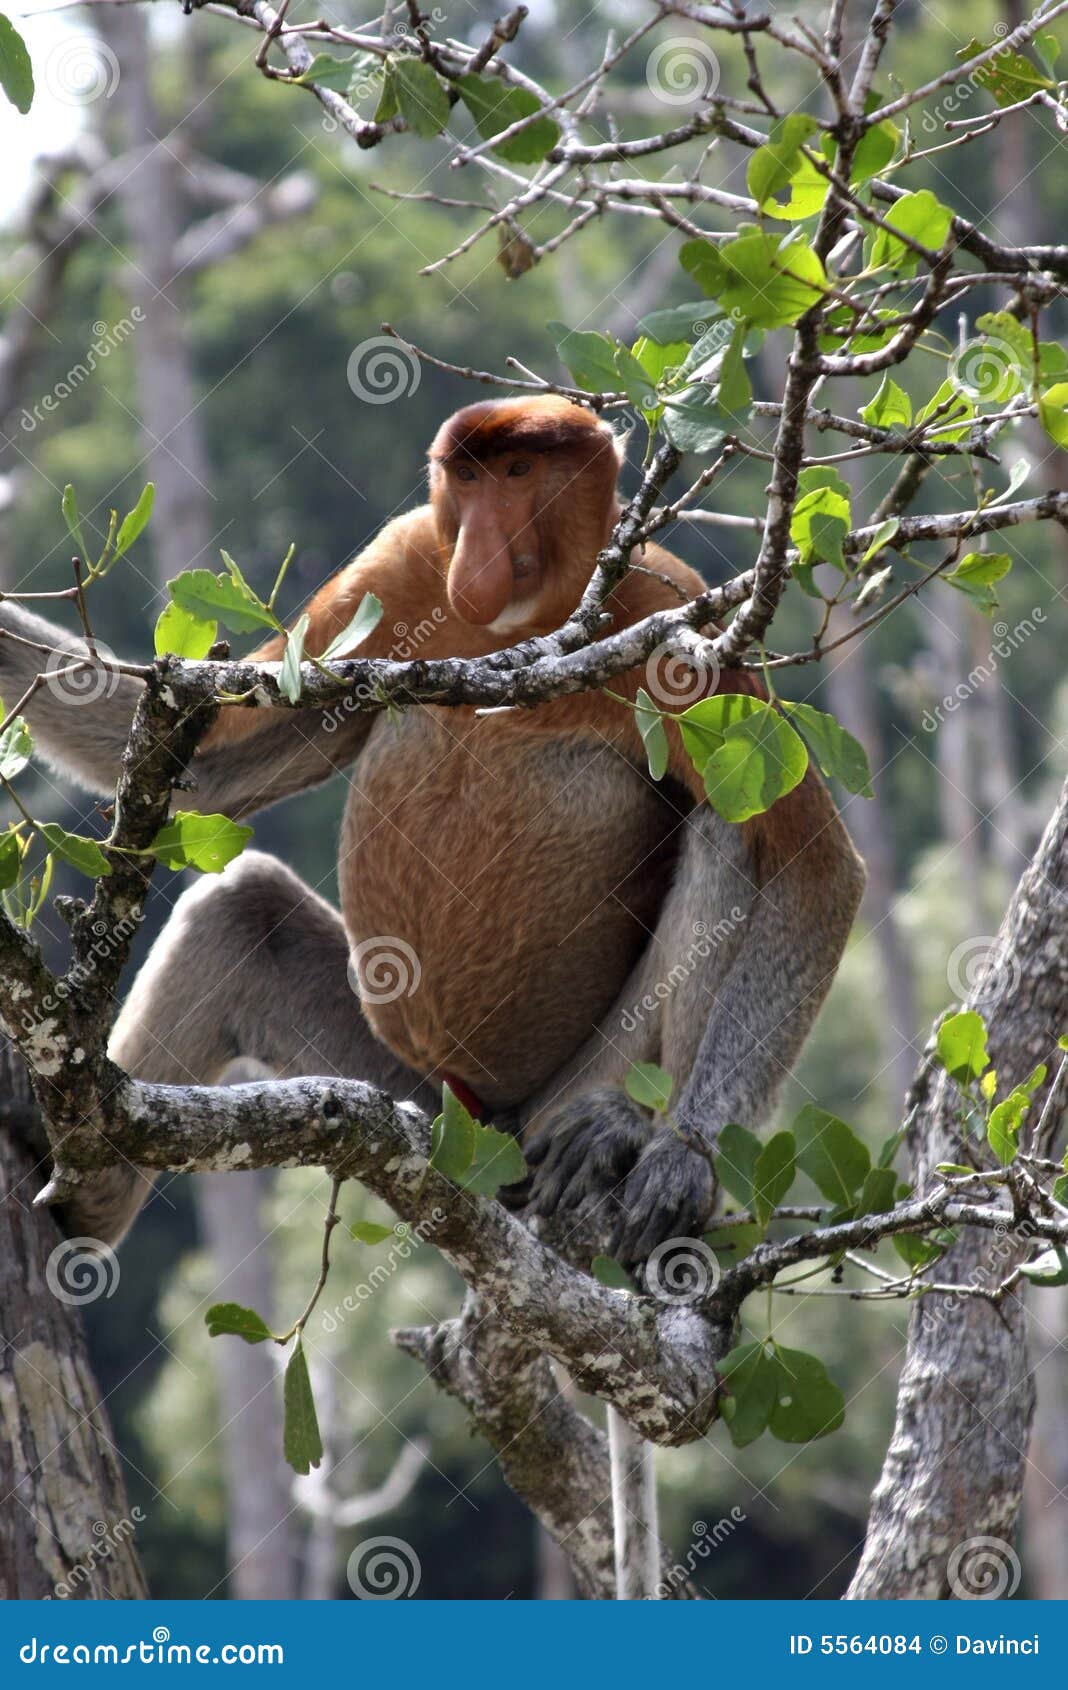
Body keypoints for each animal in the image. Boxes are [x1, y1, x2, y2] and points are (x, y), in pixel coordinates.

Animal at [0, 396, 865, 1267]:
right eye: (468, 480)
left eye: (519, 472)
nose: (477, 554)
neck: (532, 626)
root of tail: (494, 1124)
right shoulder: (399, 562)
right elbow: (211, 771)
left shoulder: (677, 627)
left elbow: (814, 866)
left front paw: (684, 1162)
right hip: (413, 1090)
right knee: (243, 909)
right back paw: (86, 1179)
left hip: (570, 1085)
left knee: (727, 839)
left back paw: (619, 1130)